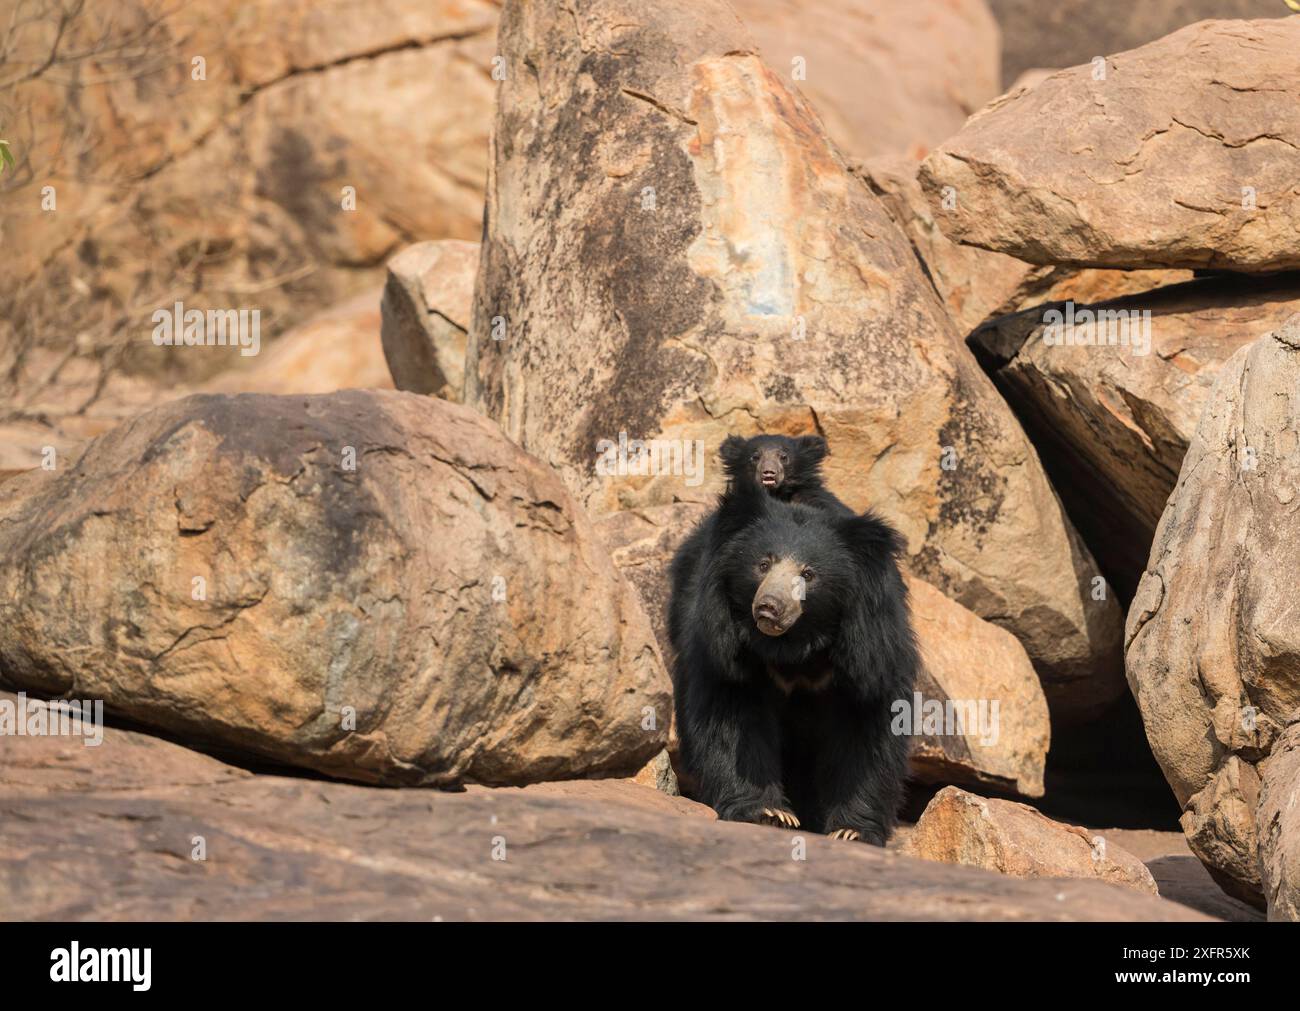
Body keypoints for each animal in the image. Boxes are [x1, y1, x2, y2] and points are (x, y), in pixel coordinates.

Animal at [668, 464, 918, 844]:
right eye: (763, 564)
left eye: (809, 574)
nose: (770, 607)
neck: (795, 645)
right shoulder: (726, 646)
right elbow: (732, 718)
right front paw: (769, 813)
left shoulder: (870, 649)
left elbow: (867, 730)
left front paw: (851, 831)